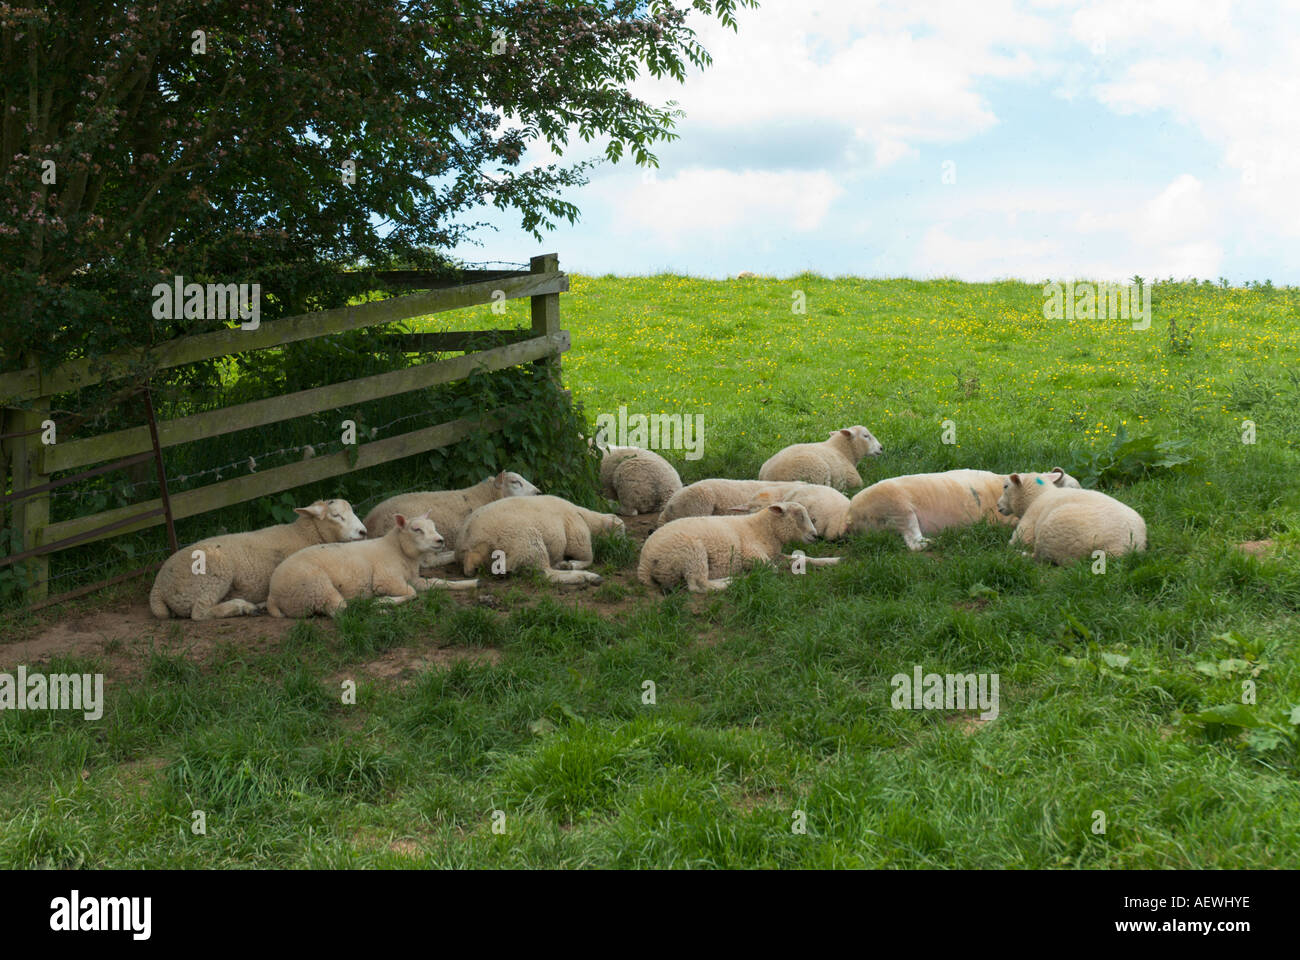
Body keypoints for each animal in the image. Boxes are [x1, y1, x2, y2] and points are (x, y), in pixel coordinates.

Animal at [148, 499, 367, 620]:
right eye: (336, 515)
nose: (363, 532)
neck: (304, 534)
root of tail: (158, 587)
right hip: (213, 575)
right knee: (199, 612)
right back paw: (242, 607)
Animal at [266, 511, 477, 618]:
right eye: (416, 529)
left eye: (433, 527)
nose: (440, 540)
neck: (397, 550)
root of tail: (272, 596)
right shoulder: (387, 579)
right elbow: (412, 594)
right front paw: (382, 600)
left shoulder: (412, 578)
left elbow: (438, 583)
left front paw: (471, 583)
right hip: (316, 586)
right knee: (340, 611)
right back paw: (376, 609)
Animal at [456, 495, 625, 586]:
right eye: (621, 532)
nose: (624, 548)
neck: (586, 517)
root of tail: (470, 545)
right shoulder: (578, 535)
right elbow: (588, 558)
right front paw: (571, 564)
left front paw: (565, 563)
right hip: (526, 540)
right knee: (546, 574)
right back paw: (585, 576)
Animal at [638, 501, 839, 592]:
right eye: (798, 515)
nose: (815, 535)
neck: (762, 529)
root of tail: (644, 564)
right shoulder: (752, 554)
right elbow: (773, 570)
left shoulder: (775, 554)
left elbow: (803, 558)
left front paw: (831, 560)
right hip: (691, 552)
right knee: (699, 585)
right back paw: (732, 580)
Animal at [997, 474, 1147, 564]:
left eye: (1005, 486)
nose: (998, 505)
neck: (1037, 496)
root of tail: (1121, 548)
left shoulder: (1029, 520)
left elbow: (1020, 540)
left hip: (1054, 536)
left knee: (1043, 558)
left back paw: (1020, 554)